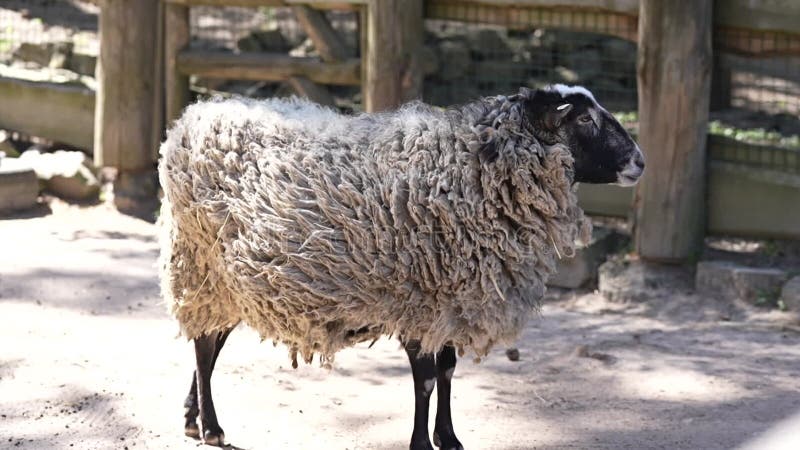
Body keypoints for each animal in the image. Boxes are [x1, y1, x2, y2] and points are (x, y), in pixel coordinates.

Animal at [158, 84, 644, 449]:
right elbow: (426, 379)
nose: (639, 162)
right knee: (203, 346)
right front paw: (422, 443)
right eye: (583, 120)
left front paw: (449, 439)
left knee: (210, 342)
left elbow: (447, 370)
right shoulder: (418, 302)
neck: (471, 170)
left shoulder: (450, 303)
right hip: (199, 265)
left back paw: (191, 416)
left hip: (230, 281)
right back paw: (211, 427)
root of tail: (192, 117)